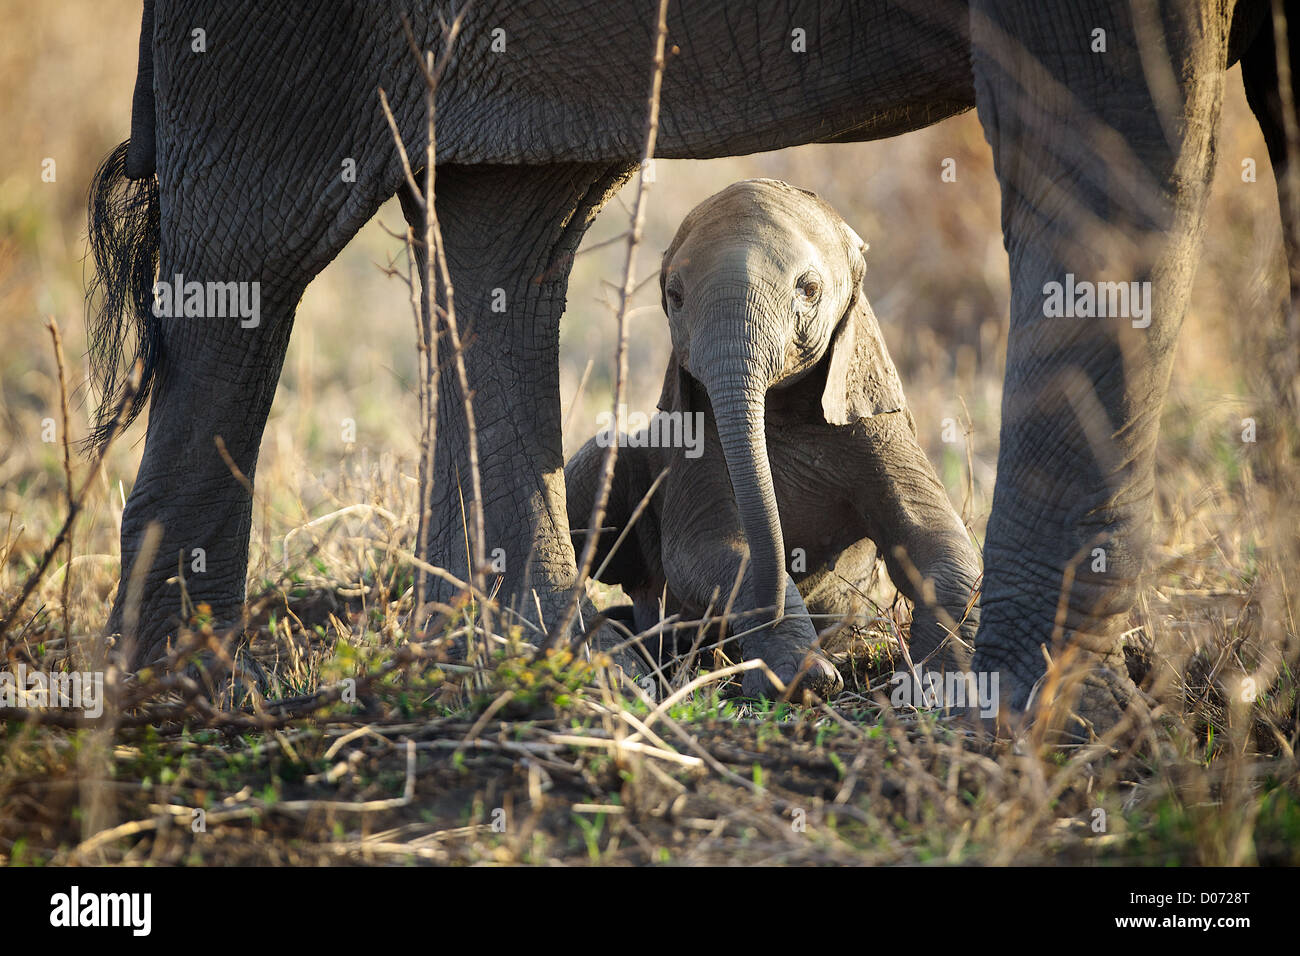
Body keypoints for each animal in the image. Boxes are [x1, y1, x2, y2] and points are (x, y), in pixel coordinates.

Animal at [564, 179, 981, 700]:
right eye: (674, 296)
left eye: (810, 289)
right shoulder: (693, 436)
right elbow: (708, 548)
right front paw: (802, 679)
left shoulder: (879, 428)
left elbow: (941, 545)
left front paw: (937, 688)